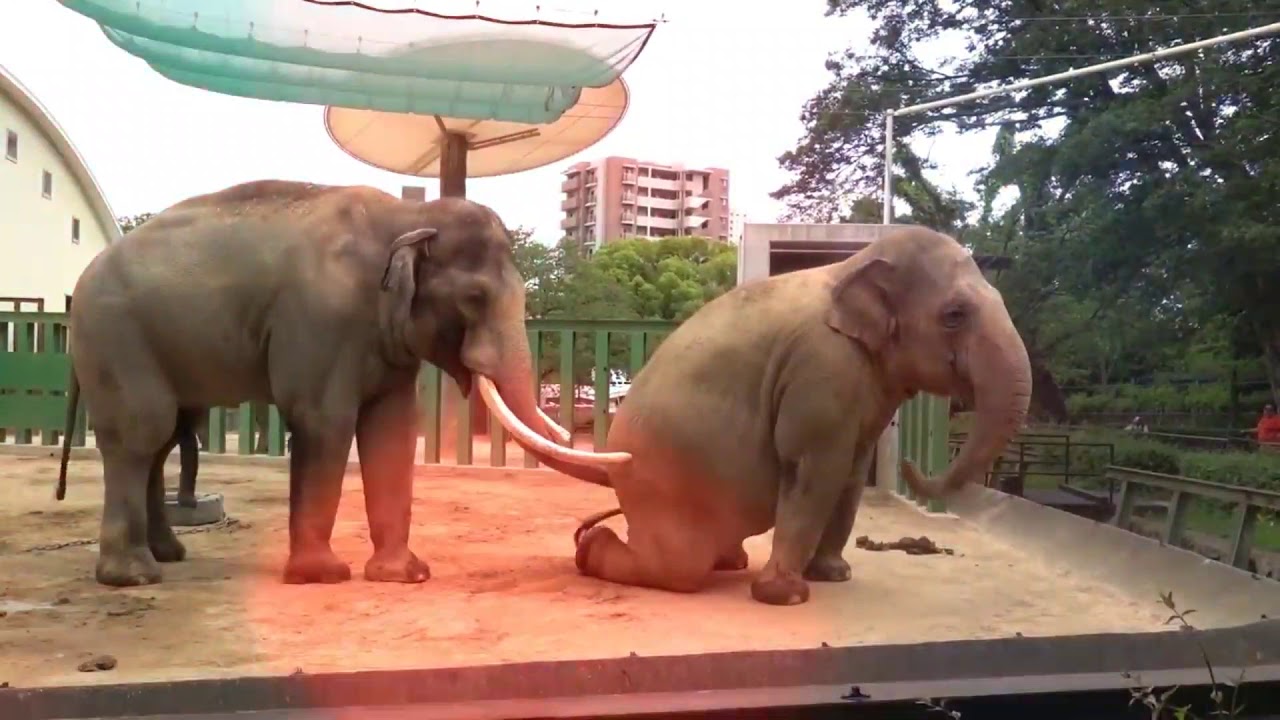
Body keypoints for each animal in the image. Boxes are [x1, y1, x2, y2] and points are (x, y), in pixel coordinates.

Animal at [54, 179, 629, 588]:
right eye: (474, 298)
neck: (407, 219)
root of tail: (81, 280)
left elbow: (393, 430)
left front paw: (405, 575)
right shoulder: (320, 317)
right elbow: (325, 420)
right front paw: (322, 575)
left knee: (167, 435)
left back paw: (170, 556)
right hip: (116, 336)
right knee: (142, 433)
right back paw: (134, 577)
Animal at [513, 225, 1032, 606]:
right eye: (954, 315)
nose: (908, 465)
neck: (851, 266)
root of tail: (612, 456)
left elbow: (851, 469)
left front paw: (833, 576)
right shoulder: (821, 366)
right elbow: (813, 467)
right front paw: (785, 595)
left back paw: (728, 561)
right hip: (662, 481)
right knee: (678, 565)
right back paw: (589, 548)